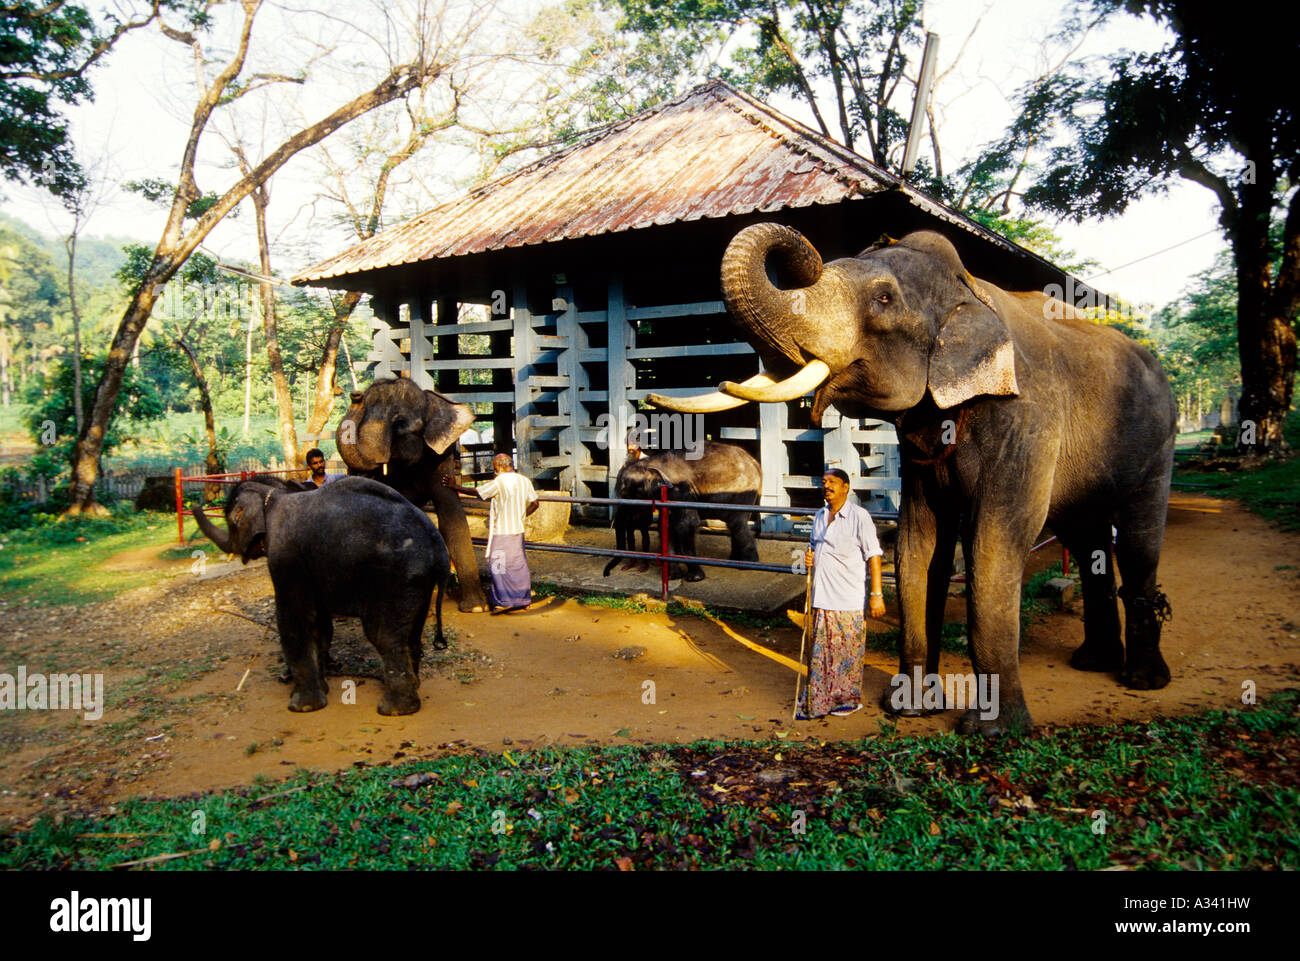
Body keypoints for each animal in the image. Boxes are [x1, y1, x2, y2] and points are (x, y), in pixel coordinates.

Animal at [191, 476, 449, 715]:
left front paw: (302, 707)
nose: (195, 503)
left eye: (231, 522)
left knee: (384, 637)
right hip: (419, 579)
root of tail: (437, 544)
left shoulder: (285, 556)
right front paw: (322, 689)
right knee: (412, 635)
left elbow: (293, 617)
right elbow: (320, 624)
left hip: (396, 576)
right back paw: (414, 687)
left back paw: (394, 710)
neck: (275, 492)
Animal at [603, 440, 761, 581]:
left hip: (743, 490)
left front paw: (694, 578)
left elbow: (687, 524)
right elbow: (666, 525)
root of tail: (755, 462)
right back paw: (733, 561)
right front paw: (673, 576)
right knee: (733, 523)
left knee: (736, 522)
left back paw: (748, 565)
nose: (606, 575)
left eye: (626, 495)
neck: (651, 463)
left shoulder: (681, 490)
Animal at [649, 223, 1177, 735]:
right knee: (1087, 539)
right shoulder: (921, 446)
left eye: (883, 298)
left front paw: (993, 732)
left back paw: (1143, 679)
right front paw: (906, 709)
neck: (970, 289)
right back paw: (1093, 662)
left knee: (1137, 541)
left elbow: (993, 542)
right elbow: (917, 543)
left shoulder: (1026, 419)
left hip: (1158, 443)